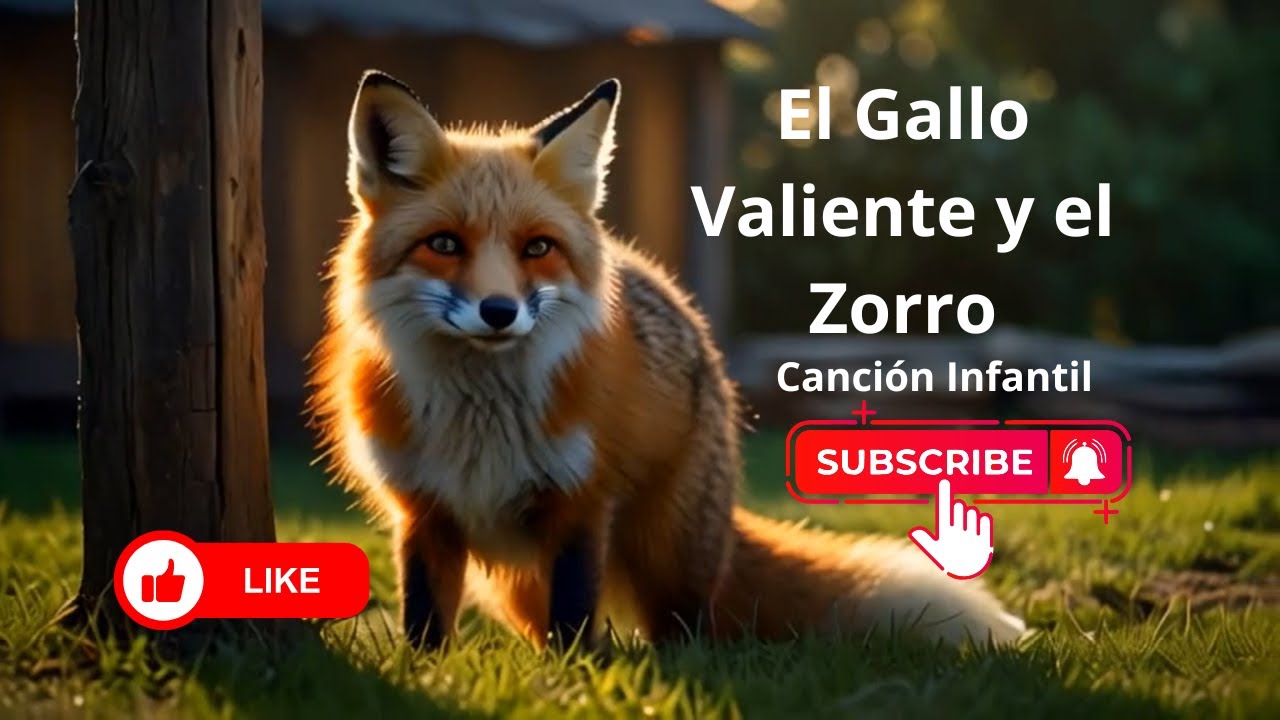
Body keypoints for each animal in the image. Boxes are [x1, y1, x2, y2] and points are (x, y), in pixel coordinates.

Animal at [308, 70, 1026, 650]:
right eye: (444, 244)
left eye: (537, 248)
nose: (499, 311)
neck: (480, 423)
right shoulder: (423, 511)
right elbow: (426, 622)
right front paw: (426, 671)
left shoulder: (582, 503)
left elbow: (575, 620)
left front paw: (571, 681)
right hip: (517, 580)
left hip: (667, 551)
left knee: (686, 631)